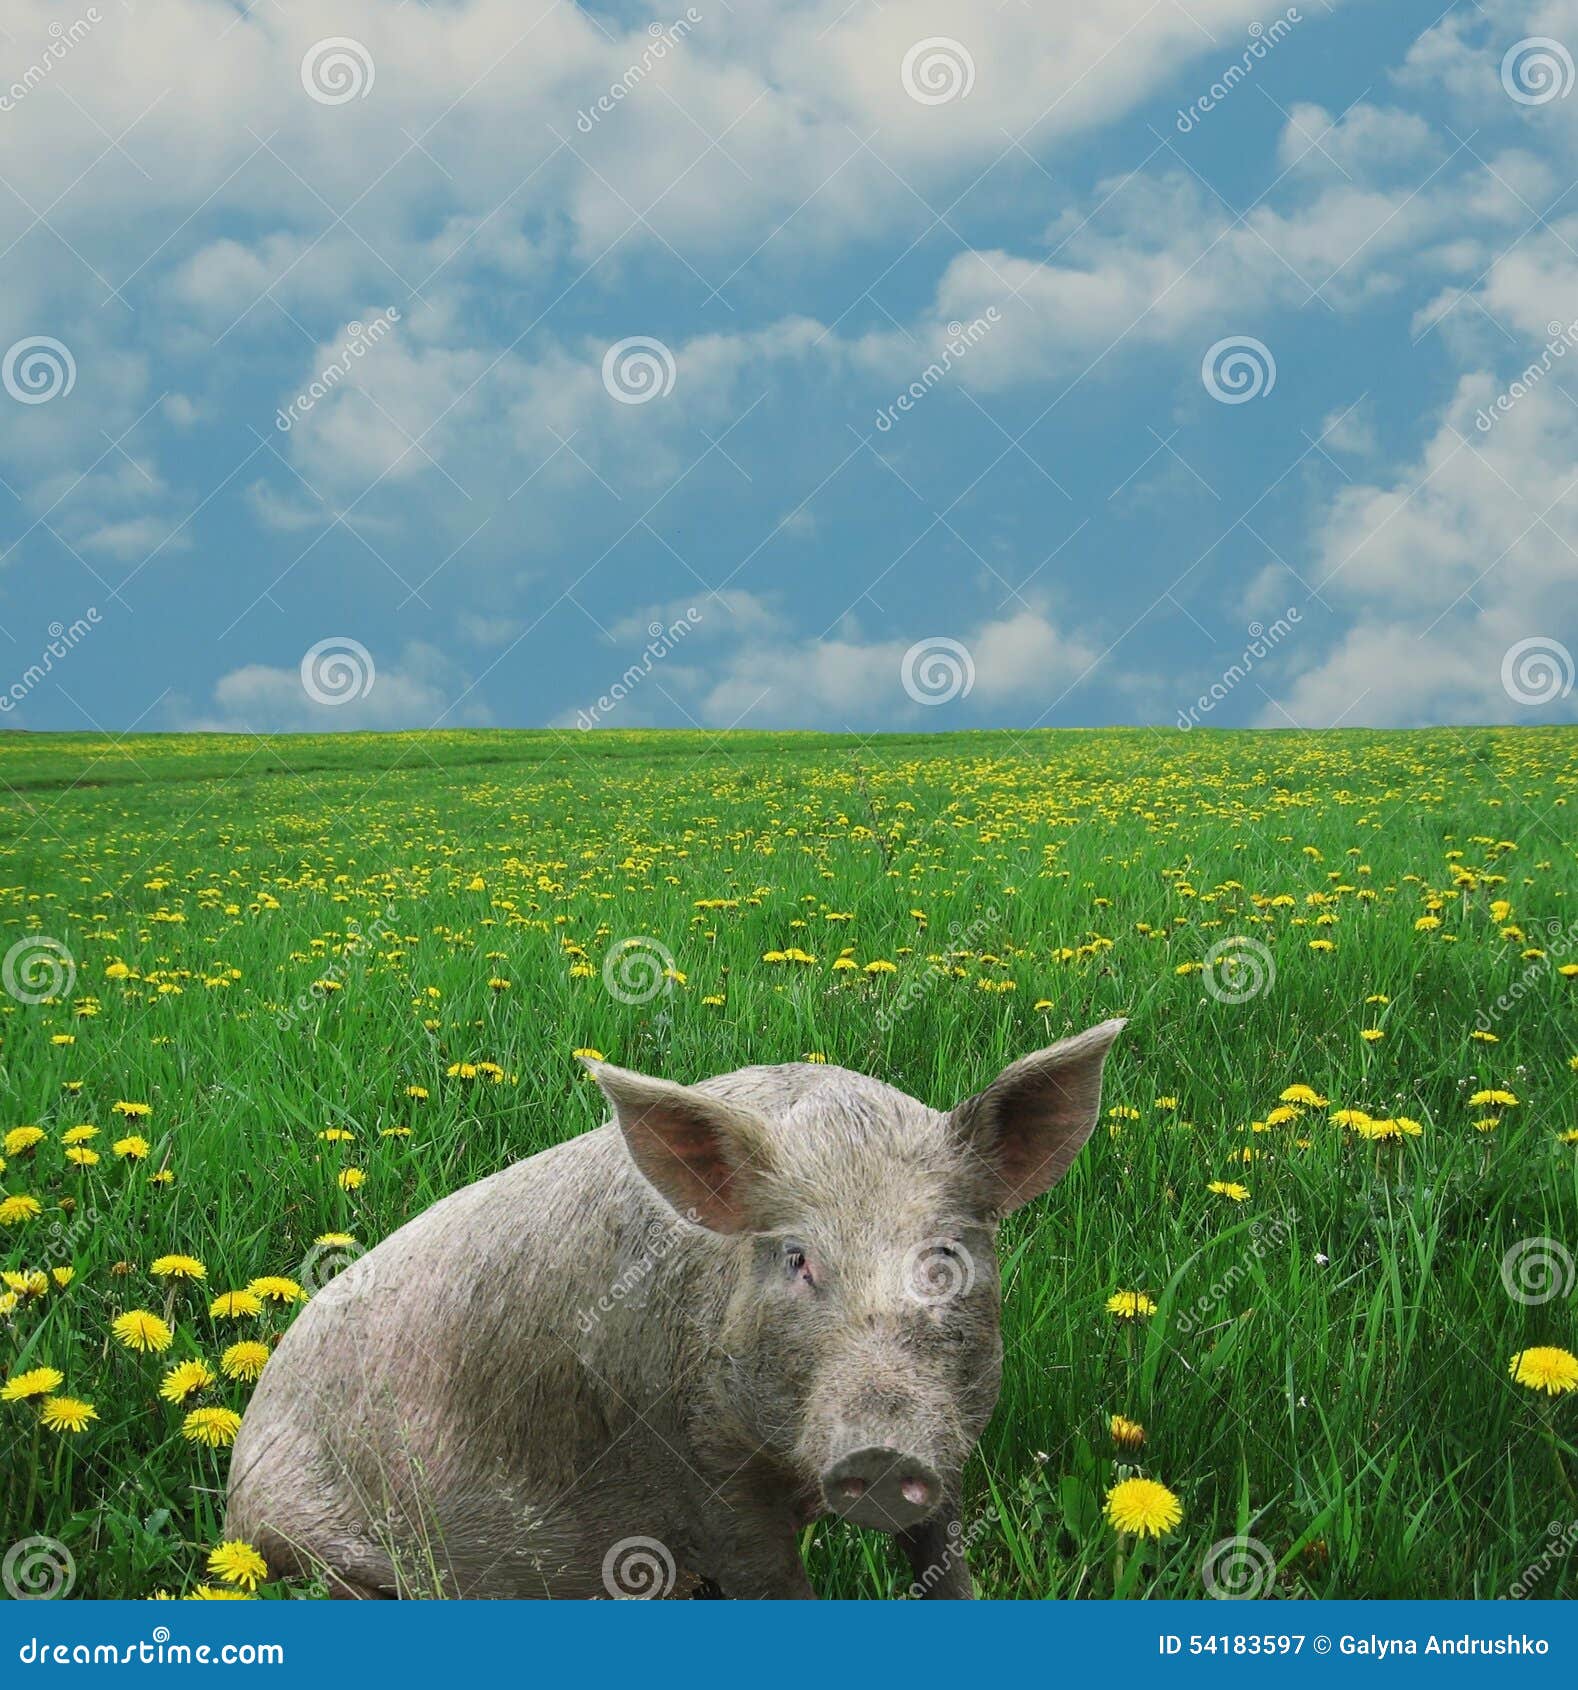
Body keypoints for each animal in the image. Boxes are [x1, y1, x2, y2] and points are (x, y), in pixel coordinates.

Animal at [225, 1017, 1125, 1599]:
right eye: (796, 1259)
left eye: (946, 1258)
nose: (878, 1451)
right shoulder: (701, 1474)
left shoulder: (950, 1439)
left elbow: (947, 1567)